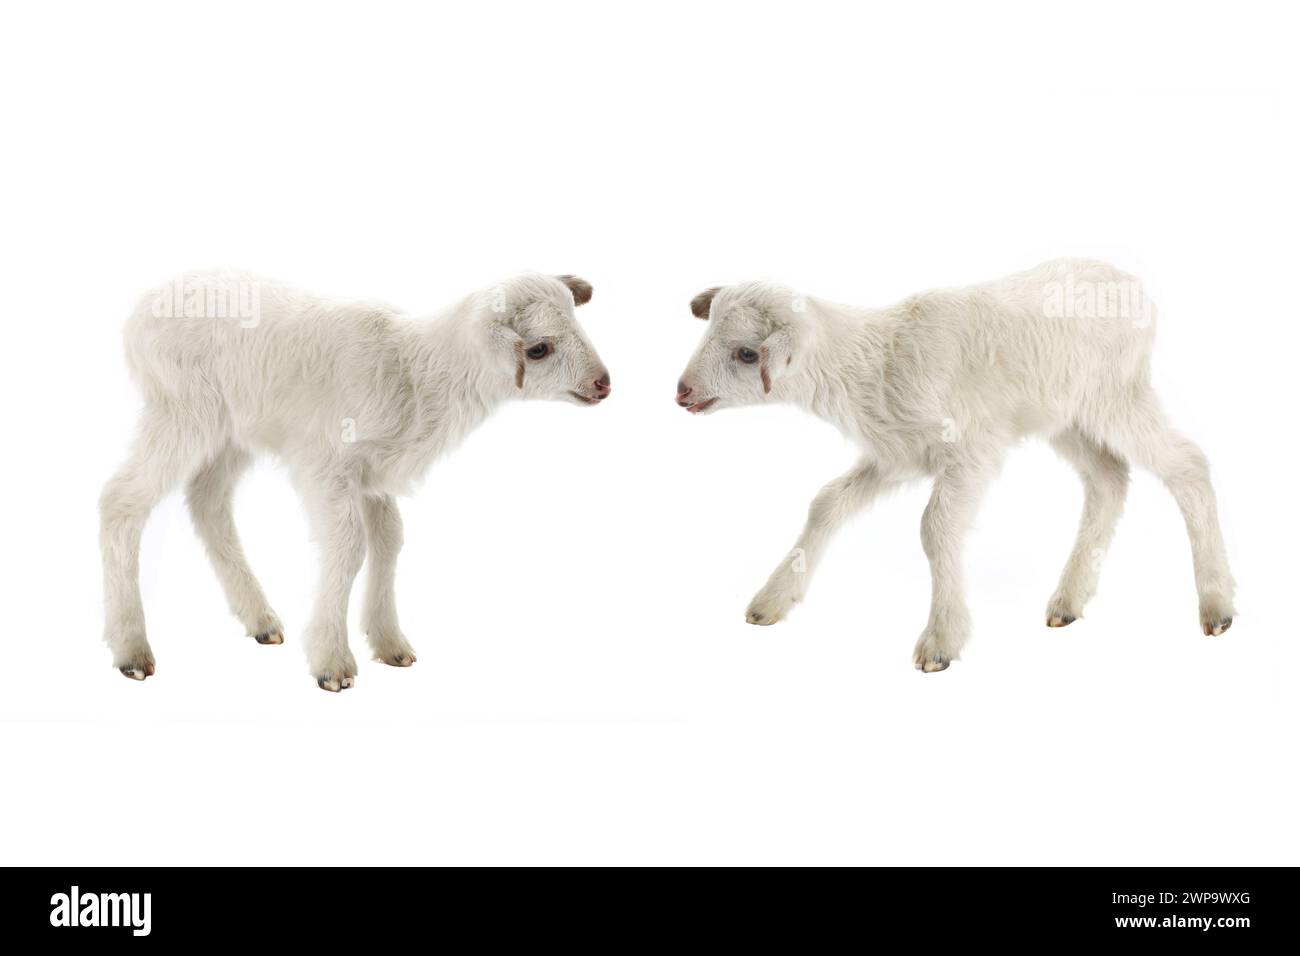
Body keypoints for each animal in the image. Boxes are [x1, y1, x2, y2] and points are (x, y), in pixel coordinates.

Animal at [100, 270, 610, 691]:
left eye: (576, 323)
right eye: (538, 348)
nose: (604, 383)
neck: (418, 369)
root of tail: (144, 304)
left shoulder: (373, 474)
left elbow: (388, 541)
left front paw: (390, 643)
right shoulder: (326, 466)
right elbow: (348, 548)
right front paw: (333, 662)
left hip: (234, 429)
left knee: (207, 501)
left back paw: (260, 619)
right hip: (182, 410)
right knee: (120, 500)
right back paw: (131, 650)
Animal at [675, 258, 1235, 671]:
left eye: (748, 354)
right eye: (707, 334)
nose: (682, 391)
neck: (874, 361)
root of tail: (1134, 283)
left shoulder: (970, 448)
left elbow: (936, 526)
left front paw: (942, 638)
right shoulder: (896, 454)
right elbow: (826, 503)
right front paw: (773, 599)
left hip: (1116, 394)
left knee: (1188, 464)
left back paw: (1217, 605)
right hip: (1063, 415)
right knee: (1108, 478)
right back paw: (1068, 601)